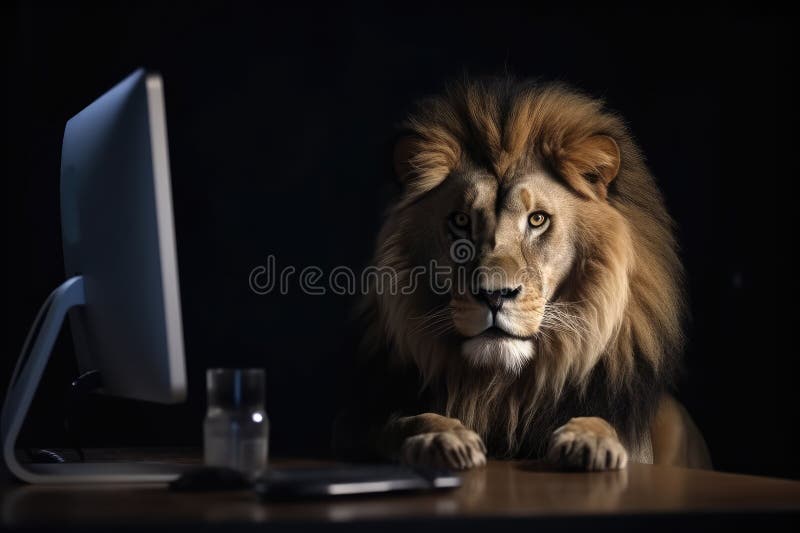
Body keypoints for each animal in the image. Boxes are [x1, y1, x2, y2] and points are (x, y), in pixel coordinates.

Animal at [334, 77, 711, 471]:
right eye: (461, 221)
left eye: (537, 219)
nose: (494, 295)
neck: (502, 391)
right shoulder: (354, 426)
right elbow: (402, 421)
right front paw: (443, 437)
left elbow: (604, 423)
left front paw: (590, 440)